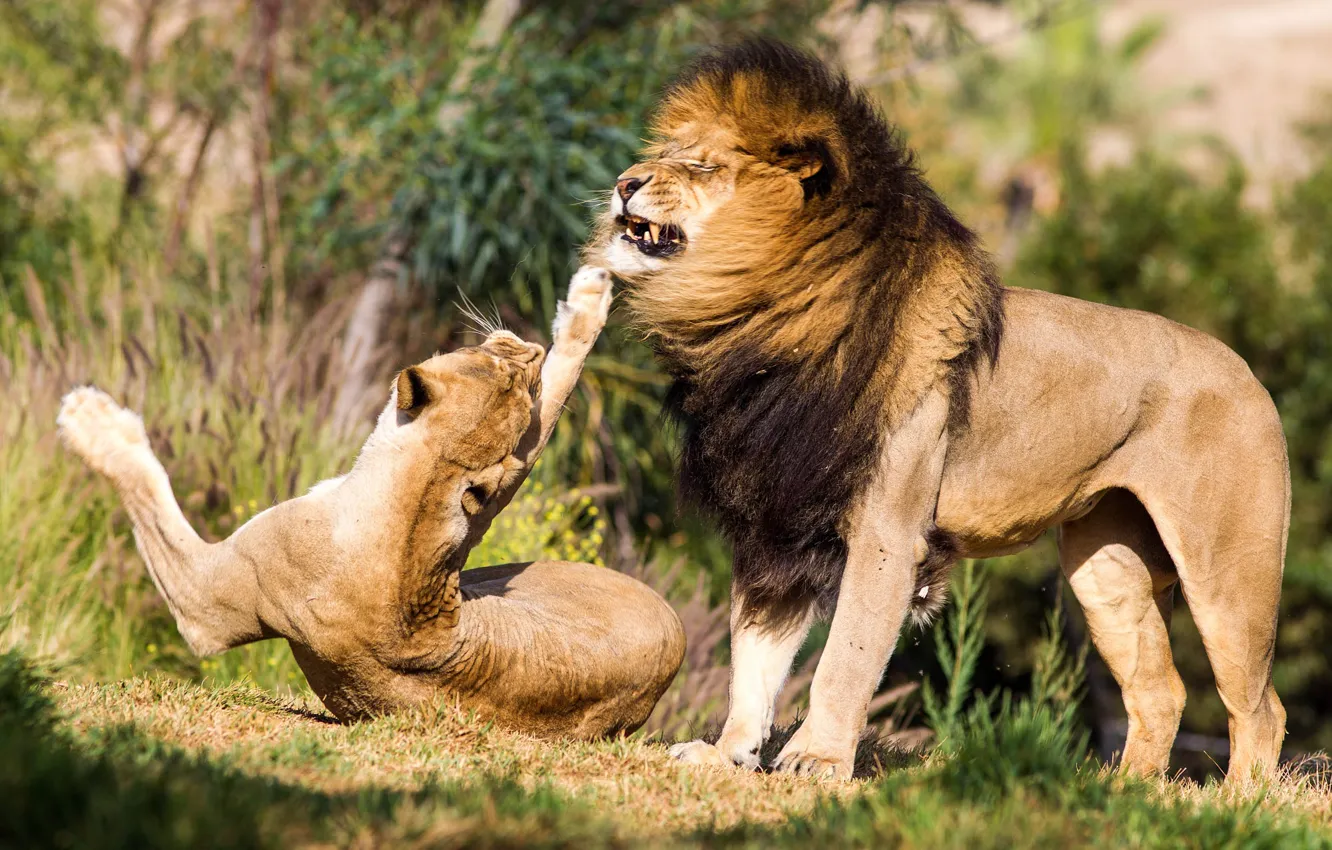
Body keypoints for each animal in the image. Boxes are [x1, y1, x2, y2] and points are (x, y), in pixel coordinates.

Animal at [57, 267, 686, 738]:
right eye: (502, 372)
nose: (525, 345)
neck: (419, 491)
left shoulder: (207, 605)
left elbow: (149, 490)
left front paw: (92, 419)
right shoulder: (485, 500)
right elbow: (549, 409)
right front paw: (591, 298)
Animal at [584, 40, 1288, 780]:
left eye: (702, 165)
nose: (625, 182)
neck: (763, 317)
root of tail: (1246, 370)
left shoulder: (887, 531)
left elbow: (846, 657)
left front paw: (817, 760)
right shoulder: (775, 526)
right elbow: (754, 658)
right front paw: (728, 754)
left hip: (1228, 570)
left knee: (1260, 708)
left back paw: (1239, 799)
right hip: (1106, 564)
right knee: (1160, 689)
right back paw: (1124, 791)